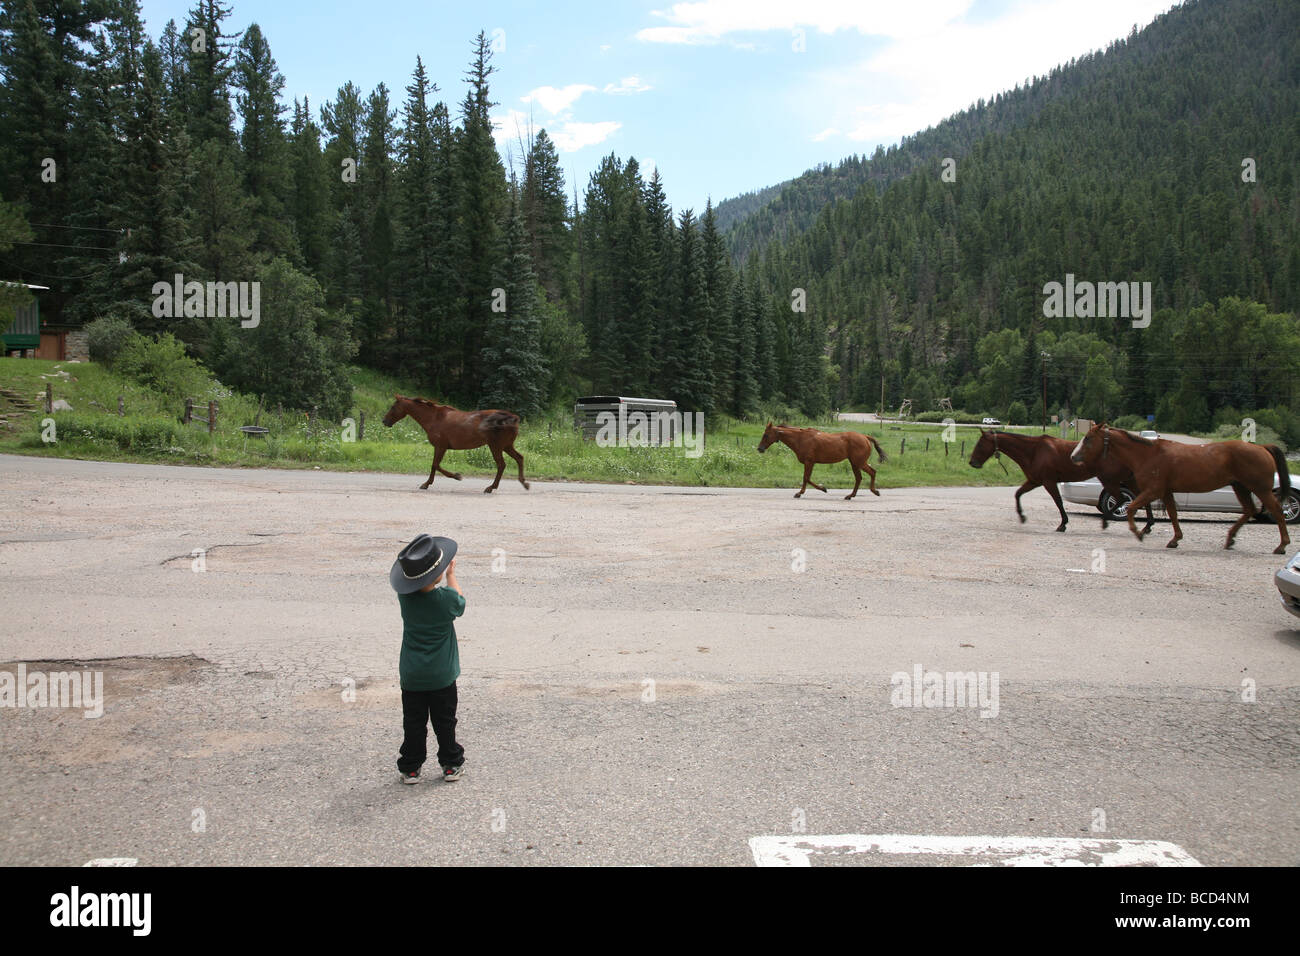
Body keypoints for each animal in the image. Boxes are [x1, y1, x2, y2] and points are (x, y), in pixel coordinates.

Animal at [382, 395, 529, 493]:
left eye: (393, 407)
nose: (384, 421)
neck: (434, 418)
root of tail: (512, 418)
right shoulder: (440, 447)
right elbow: (435, 466)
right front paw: (429, 483)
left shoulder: (440, 446)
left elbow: (435, 465)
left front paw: (455, 476)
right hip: (506, 446)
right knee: (519, 458)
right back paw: (524, 483)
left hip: (496, 446)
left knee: (501, 465)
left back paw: (491, 487)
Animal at [756, 423, 888, 499]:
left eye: (766, 435)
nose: (760, 448)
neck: (800, 439)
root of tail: (865, 437)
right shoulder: (810, 463)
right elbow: (807, 478)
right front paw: (821, 488)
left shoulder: (809, 462)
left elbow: (806, 478)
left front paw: (802, 492)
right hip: (854, 463)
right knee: (859, 478)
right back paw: (851, 495)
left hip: (858, 462)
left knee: (872, 472)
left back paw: (874, 491)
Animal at [969, 428, 1154, 534]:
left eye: (980, 444)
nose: (972, 462)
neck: (1033, 451)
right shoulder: (1034, 481)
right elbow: (1018, 494)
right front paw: (1021, 516)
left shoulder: (1048, 481)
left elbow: (1058, 501)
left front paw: (1063, 524)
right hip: (1127, 479)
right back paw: (1148, 526)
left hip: (1111, 480)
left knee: (1122, 499)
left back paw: (1106, 521)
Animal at [1070, 422, 1291, 553]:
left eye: (1088, 438)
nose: (1074, 456)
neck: (1148, 454)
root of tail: (1262, 447)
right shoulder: (1166, 492)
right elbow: (1173, 514)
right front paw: (1175, 539)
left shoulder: (1153, 490)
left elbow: (1131, 508)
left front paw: (1139, 532)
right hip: (1241, 487)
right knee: (1249, 510)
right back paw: (1230, 539)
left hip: (1260, 489)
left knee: (1277, 511)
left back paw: (1282, 545)